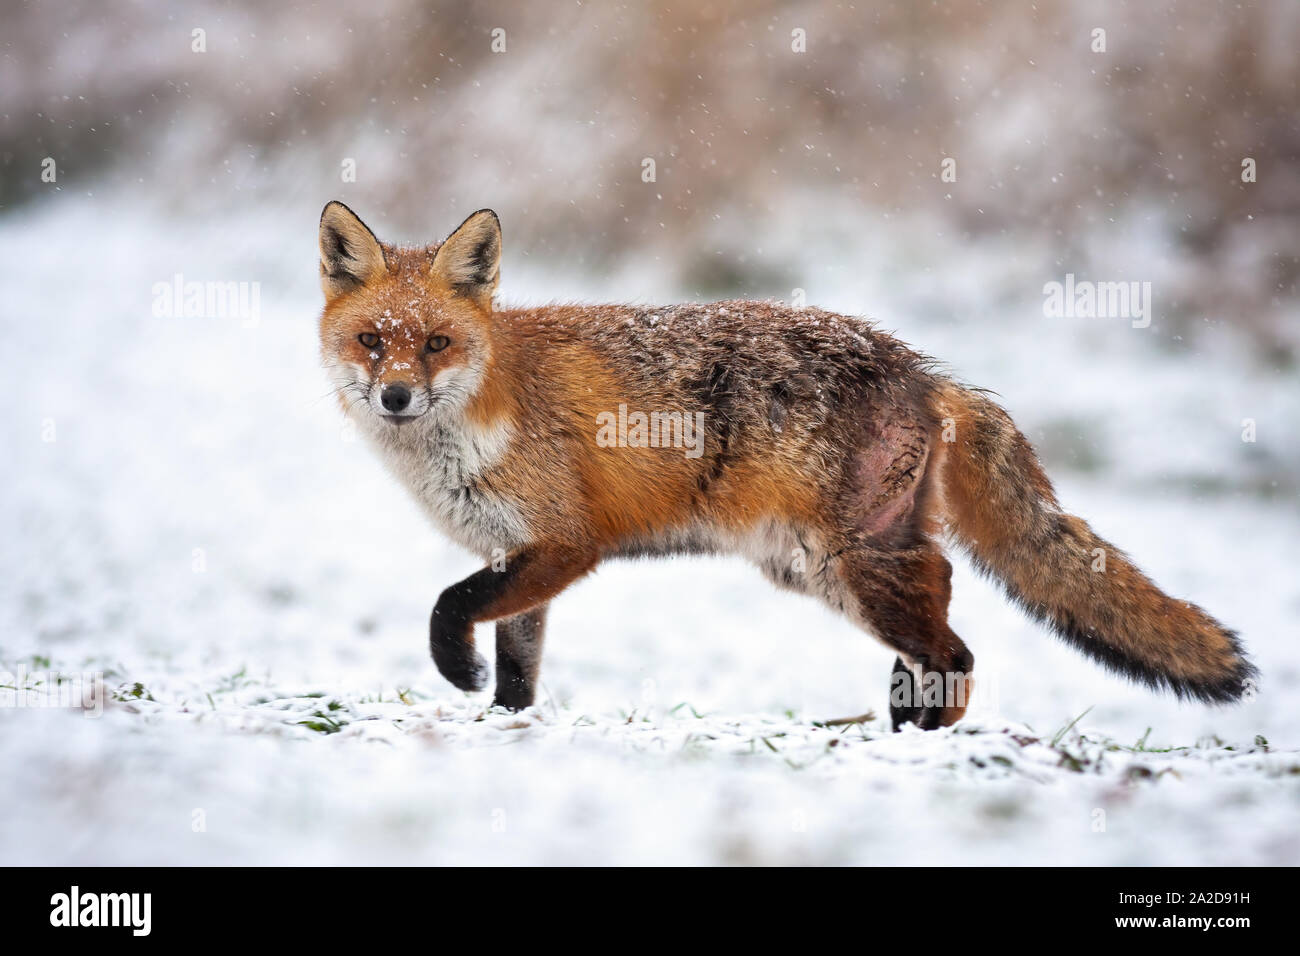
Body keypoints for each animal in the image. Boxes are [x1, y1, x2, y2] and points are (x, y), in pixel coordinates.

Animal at [317, 200, 1256, 730]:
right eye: (372, 341)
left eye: (436, 344)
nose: (395, 396)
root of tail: (924, 370)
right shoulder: (516, 553)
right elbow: (519, 663)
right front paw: (503, 721)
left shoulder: (566, 544)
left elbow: (451, 606)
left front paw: (457, 669)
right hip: (821, 567)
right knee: (944, 600)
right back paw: (903, 712)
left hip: (848, 561)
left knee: (955, 639)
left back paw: (917, 736)